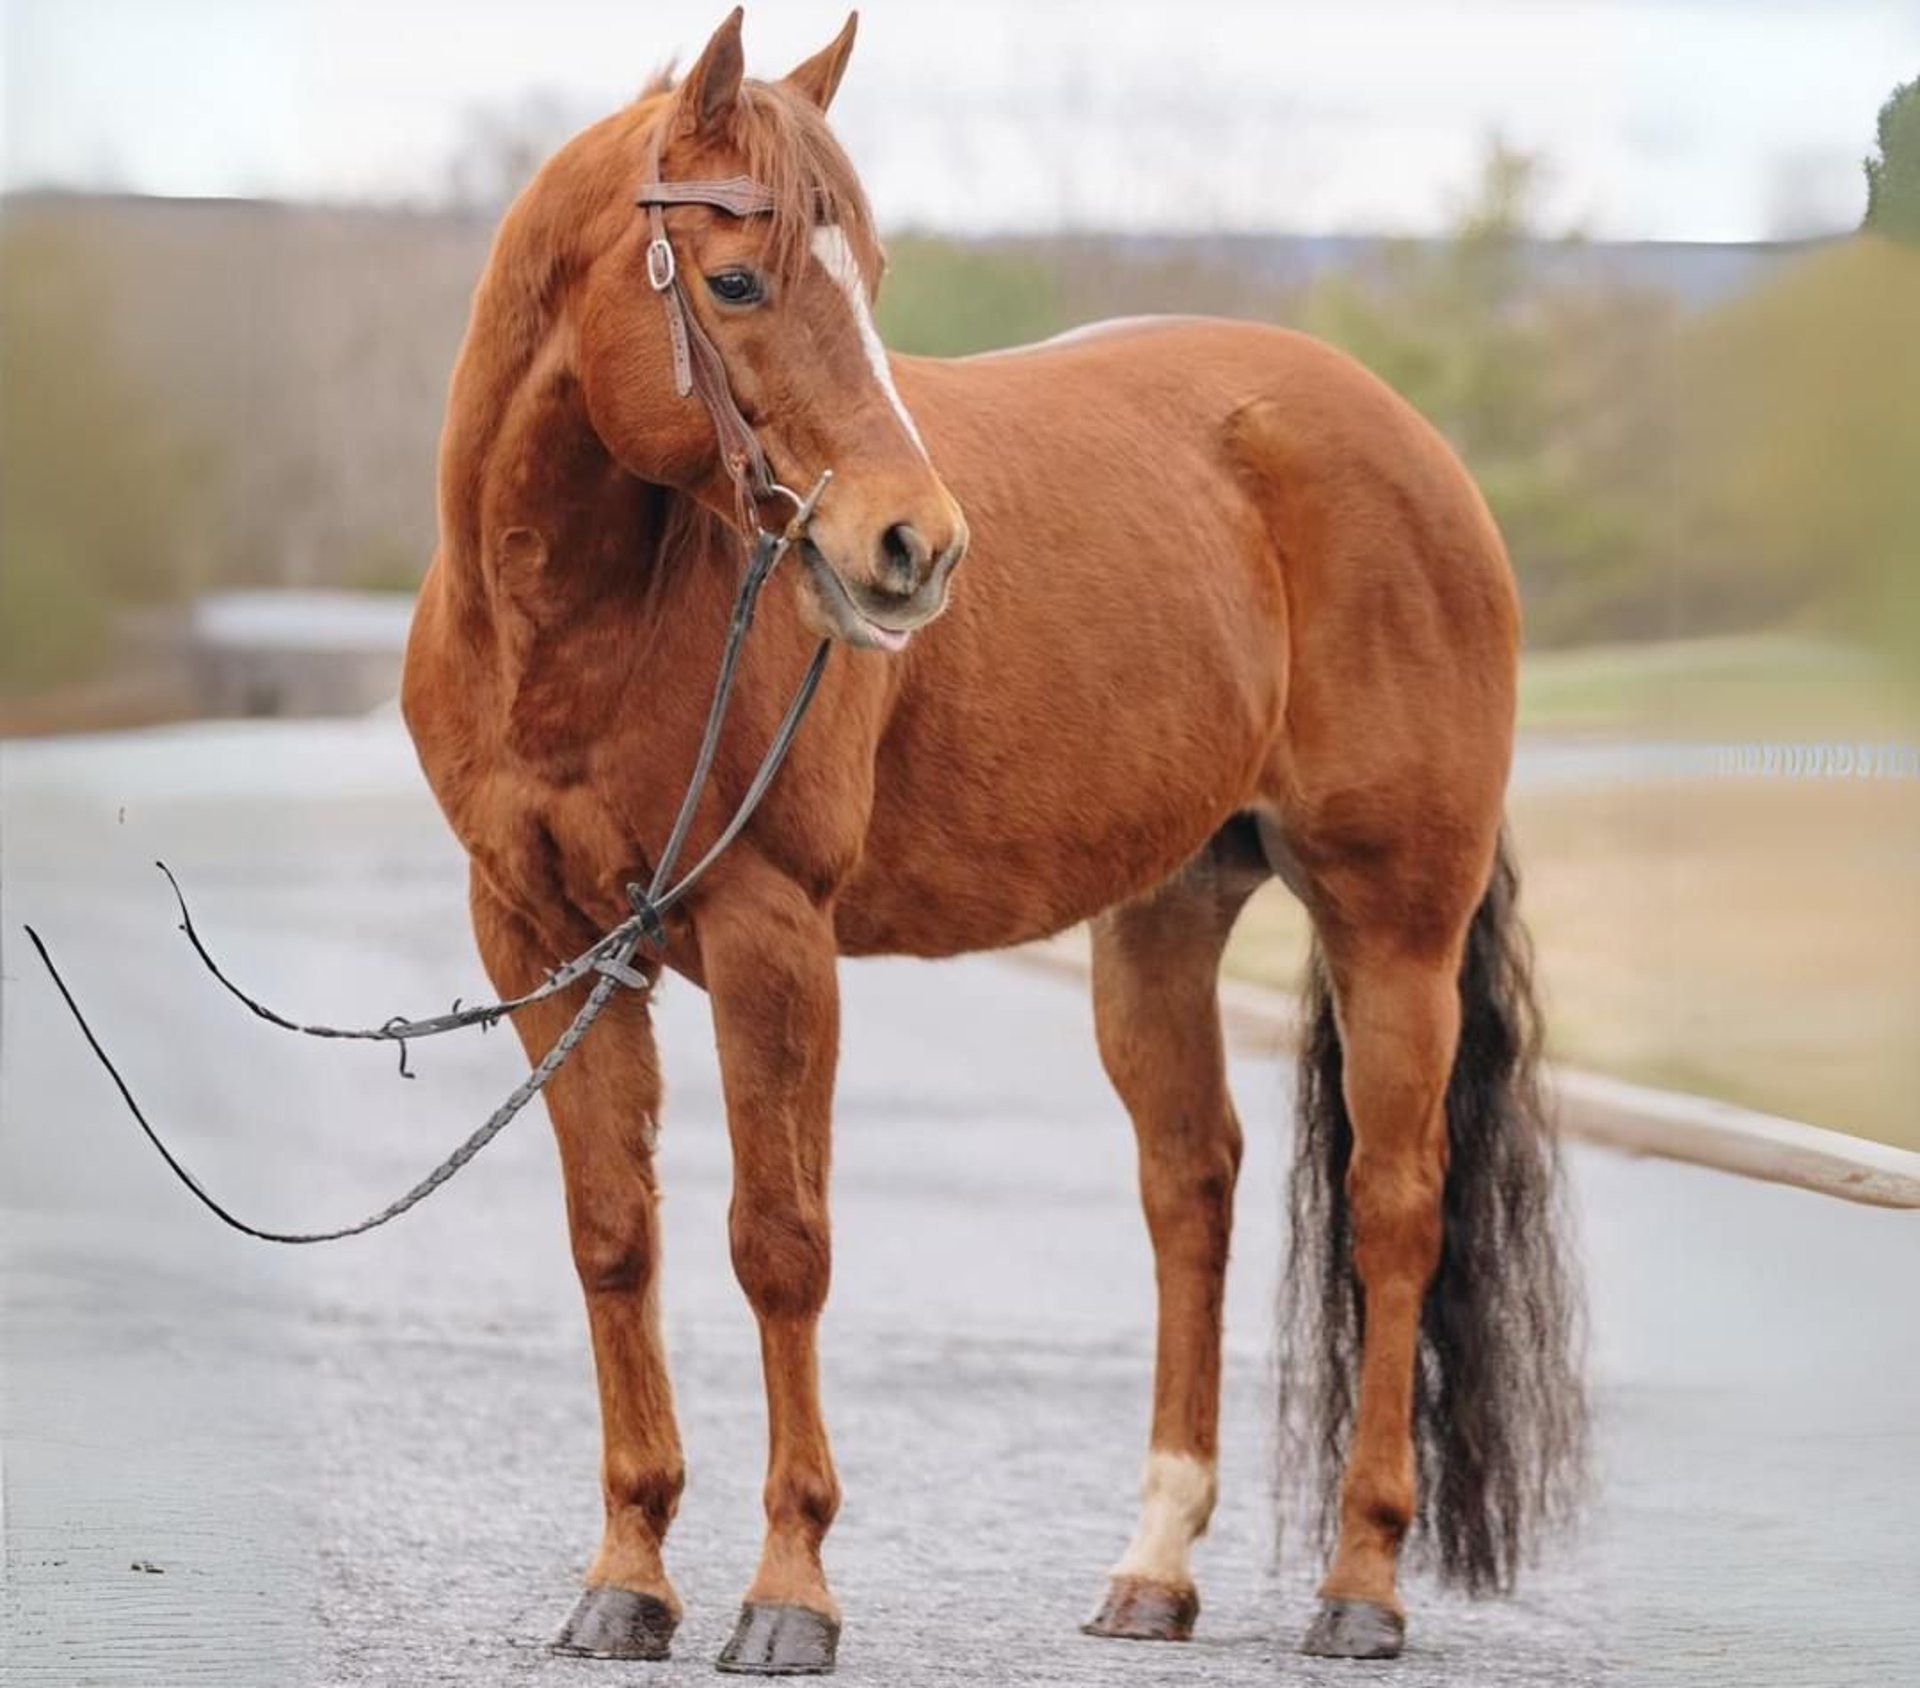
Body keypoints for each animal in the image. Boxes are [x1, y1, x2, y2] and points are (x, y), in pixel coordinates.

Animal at [401, 8, 1586, 1673]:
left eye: (877, 275)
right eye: (737, 280)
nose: (913, 545)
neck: (586, 626)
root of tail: (1411, 447)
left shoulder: (773, 937)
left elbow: (780, 1243)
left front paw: (788, 1593)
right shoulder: (546, 943)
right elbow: (614, 1236)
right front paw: (628, 1577)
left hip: (1392, 921)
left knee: (1395, 1209)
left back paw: (1360, 1585)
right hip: (1164, 916)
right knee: (1190, 1185)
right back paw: (1154, 1569)